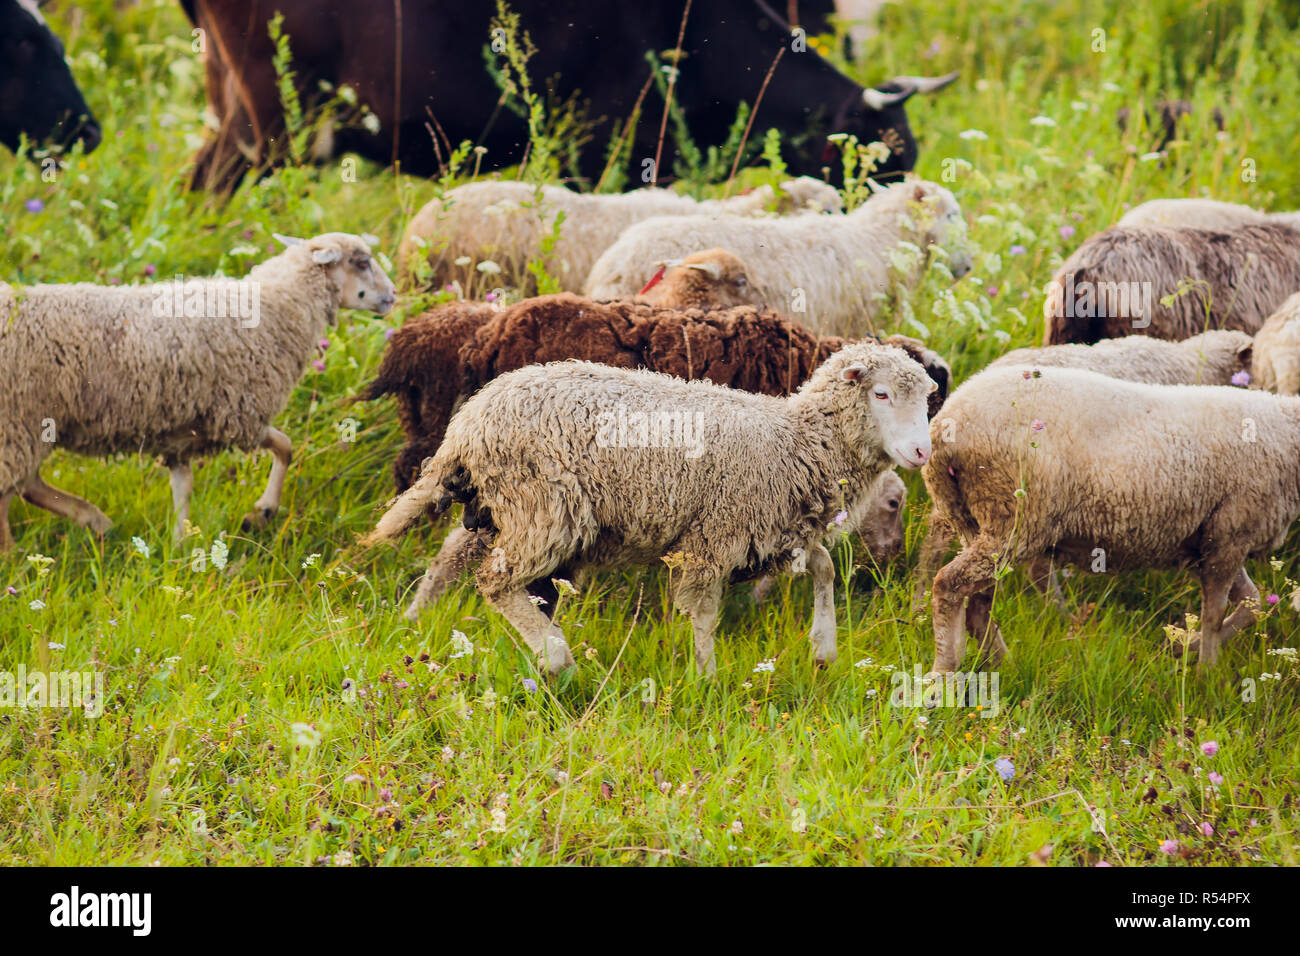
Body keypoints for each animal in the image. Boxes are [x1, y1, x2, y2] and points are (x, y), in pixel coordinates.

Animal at [0, 233, 396, 550]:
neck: (279, 306)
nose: (393, 296)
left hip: (28, 426)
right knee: (13, 490)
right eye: (362, 262)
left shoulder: (182, 433)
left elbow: (183, 487)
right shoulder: (239, 414)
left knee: (28, 484)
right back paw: (16, 556)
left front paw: (179, 546)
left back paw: (96, 522)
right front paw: (262, 512)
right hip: (20, 421)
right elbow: (286, 447)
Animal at [361, 344, 936, 675]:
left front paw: (824, 647)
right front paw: (705, 677)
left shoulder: (775, 531)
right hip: (544, 508)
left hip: (499, 511)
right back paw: (555, 657)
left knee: (479, 569)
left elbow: (823, 567)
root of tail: (469, 420)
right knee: (494, 581)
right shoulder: (716, 534)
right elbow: (703, 614)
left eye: (926, 399)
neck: (795, 439)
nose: (921, 452)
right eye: (881, 394)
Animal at [922, 365, 1300, 673]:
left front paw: (1183, 647)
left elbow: (1252, 603)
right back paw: (945, 670)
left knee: (977, 603)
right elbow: (1214, 614)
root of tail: (945, 427)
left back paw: (1003, 663)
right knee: (949, 584)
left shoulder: (1211, 538)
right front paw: (1207, 672)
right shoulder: (1231, 534)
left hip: (977, 521)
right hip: (1012, 517)